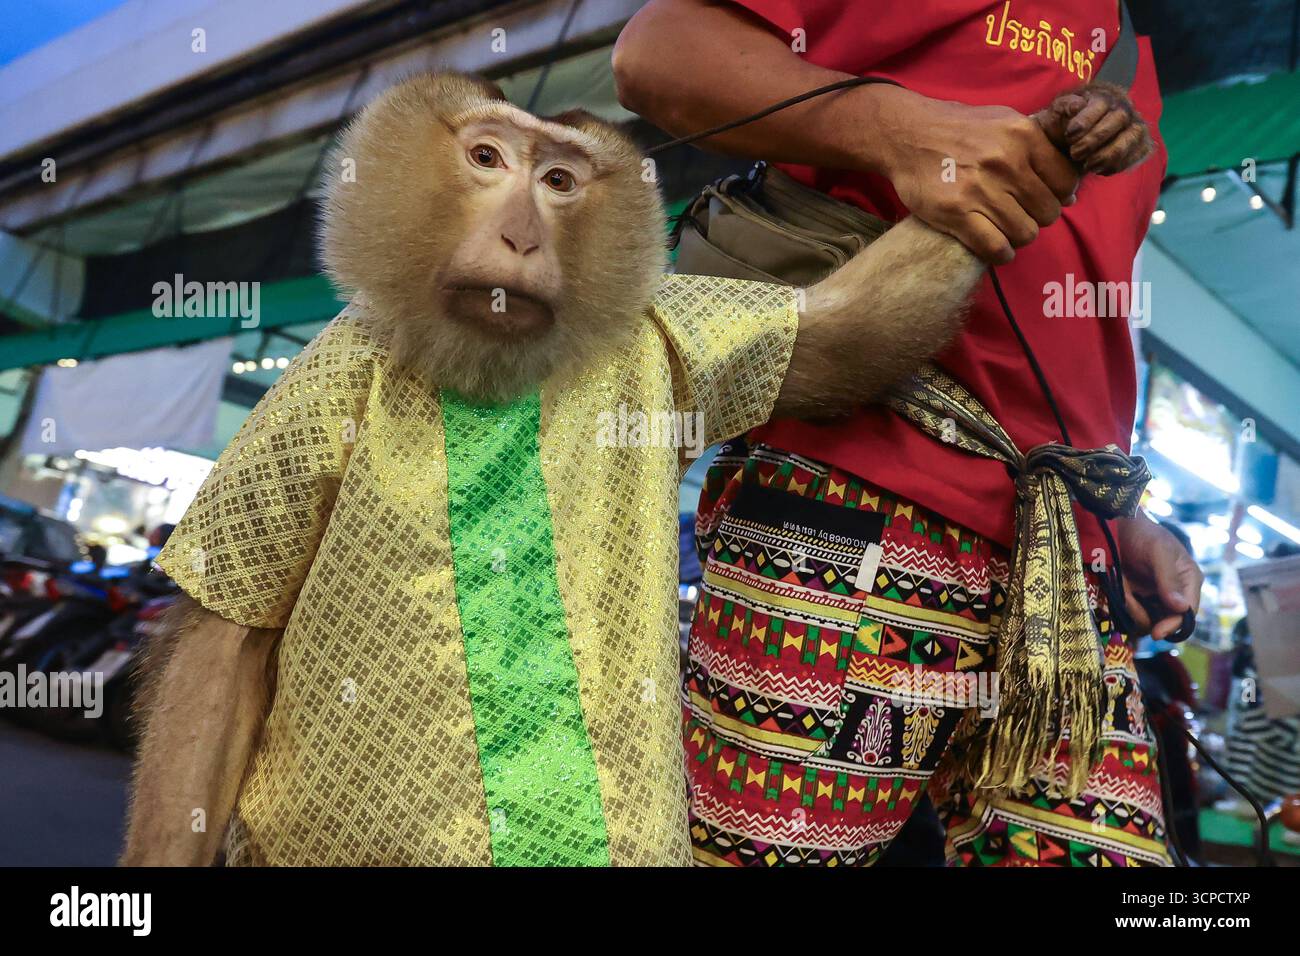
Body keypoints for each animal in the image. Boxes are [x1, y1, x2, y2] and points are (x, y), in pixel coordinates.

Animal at [121, 72, 1150, 866]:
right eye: (487, 160)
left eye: (560, 181)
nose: (522, 235)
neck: (487, 370)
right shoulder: (325, 379)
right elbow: (231, 635)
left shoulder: (665, 343)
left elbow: (841, 334)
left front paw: (1075, 129)